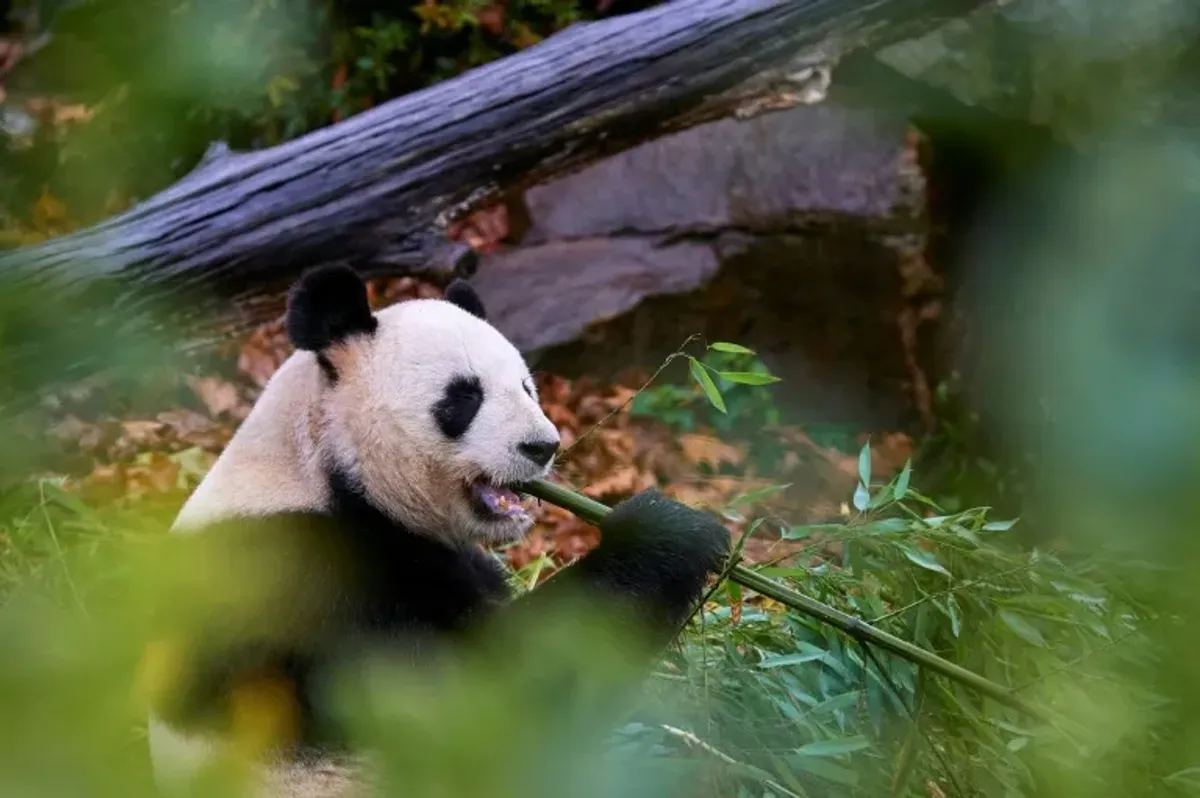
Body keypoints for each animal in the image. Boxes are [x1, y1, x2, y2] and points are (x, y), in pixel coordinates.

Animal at [143, 265, 731, 797]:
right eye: (464, 397)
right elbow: (482, 702)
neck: (320, 469)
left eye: (526, 387)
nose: (543, 446)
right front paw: (667, 531)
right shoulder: (305, 583)